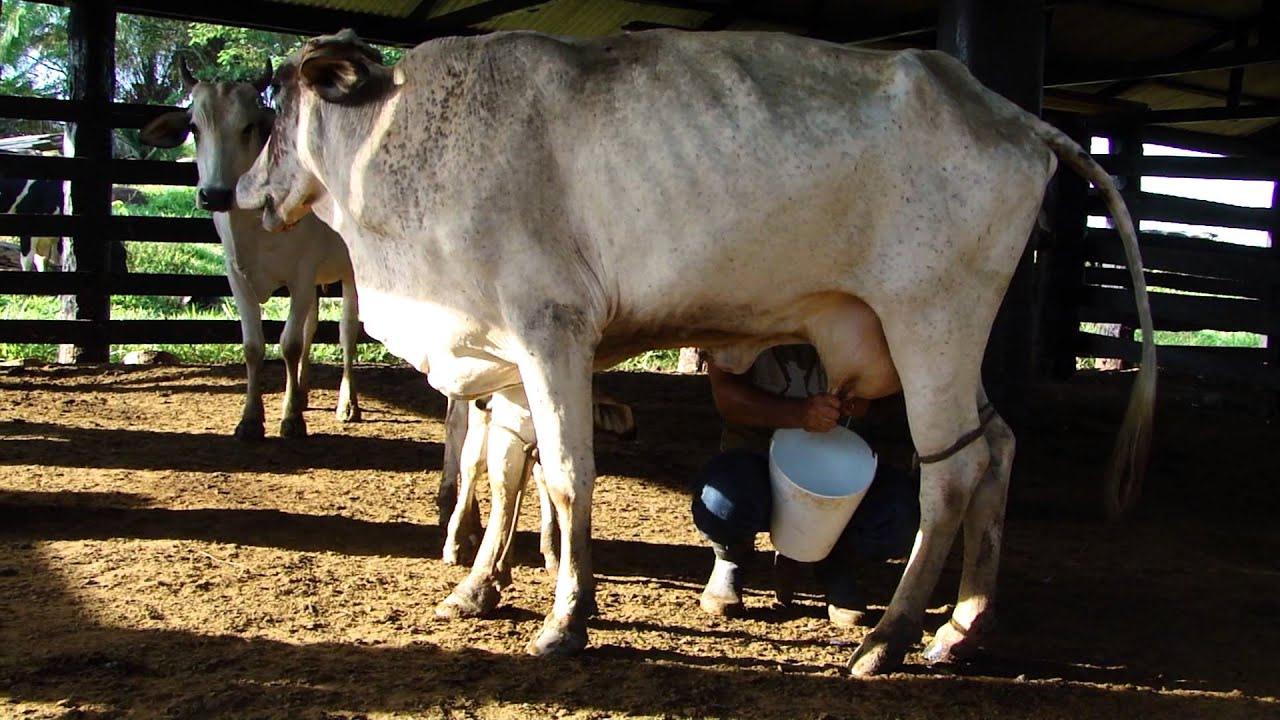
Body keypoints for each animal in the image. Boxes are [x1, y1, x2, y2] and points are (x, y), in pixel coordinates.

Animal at [141, 60, 362, 439]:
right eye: (194, 128)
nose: (214, 195)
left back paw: (347, 404)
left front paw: (291, 420)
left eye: (248, 127)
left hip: (350, 272)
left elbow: (288, 344)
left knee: (346, 331)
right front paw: (251, 419)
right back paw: (301, 392)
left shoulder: (301, 273)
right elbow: (254, 346)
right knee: (311, 328)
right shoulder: (237, 275)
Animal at [236, 29, 1156, 675]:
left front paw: (566, 620)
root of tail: (1004, 110)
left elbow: (567, 476)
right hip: (945, 347)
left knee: (953, 472)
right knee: (996, 447)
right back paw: (960, 627)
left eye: (271, 114)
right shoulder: (506, 354)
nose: (232, 190)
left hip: (932, 324)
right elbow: (505, 475)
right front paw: (478, 589)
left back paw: (887, 640)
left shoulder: (551, 329)